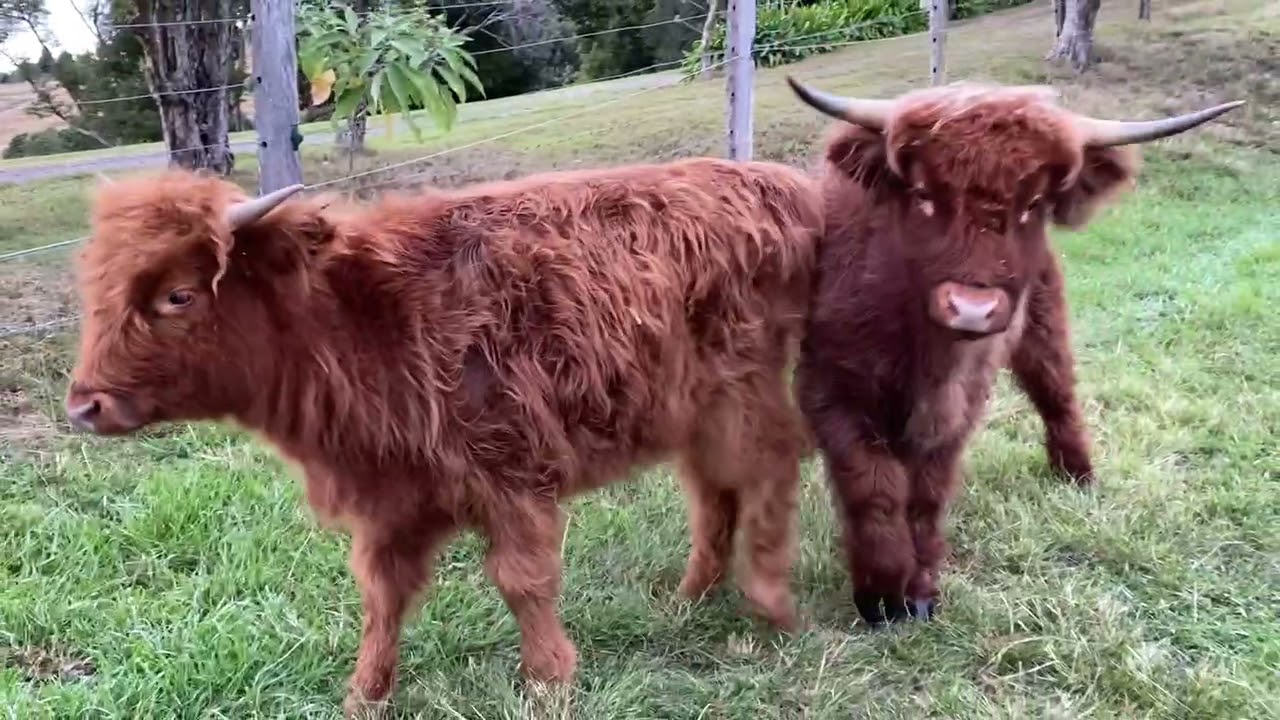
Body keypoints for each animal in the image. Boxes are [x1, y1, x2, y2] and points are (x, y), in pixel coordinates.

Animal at [62, 158, 823, 715]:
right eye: (97, 292)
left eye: (178, 294)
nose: (84, 405)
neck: (363, 324)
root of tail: (778, 183)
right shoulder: (392, 500)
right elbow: (383, 597)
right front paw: (365, 694)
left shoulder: (511, 475)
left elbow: (523, 581)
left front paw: (550, 681)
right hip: (694, 410)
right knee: (712, 489)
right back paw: (691, 594)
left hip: (744, 394)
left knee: (769, 470)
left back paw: (772, 606)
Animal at [784, 76, 1242, 626]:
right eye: (923, 194)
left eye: (1034, 203)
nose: (971, 308)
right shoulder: (831, 390)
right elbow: (874, 490)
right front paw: (883, 594)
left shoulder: (960, 403)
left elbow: (927, 493)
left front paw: (919, 590)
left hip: (1044, 326)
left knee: (1057, 393)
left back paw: (1078, 475)